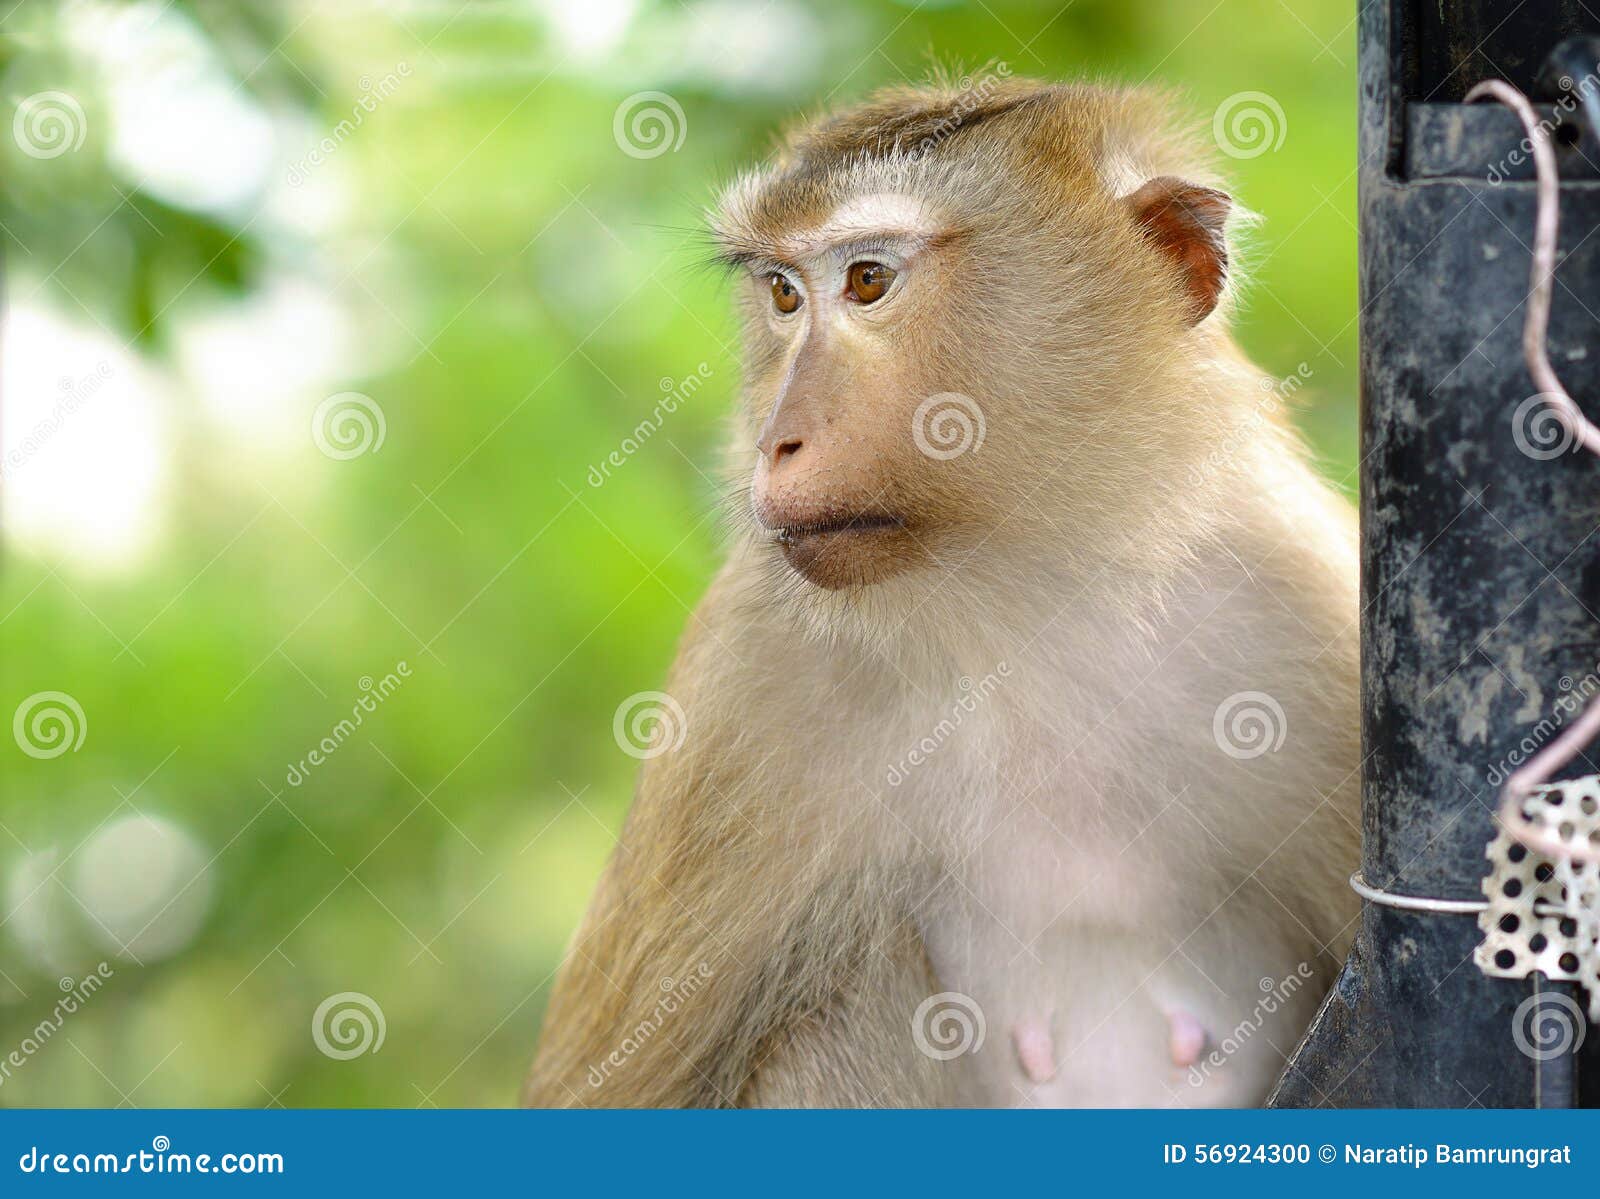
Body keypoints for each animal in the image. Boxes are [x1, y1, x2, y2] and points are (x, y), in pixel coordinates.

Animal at [524, 76, 1359, 1108]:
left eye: (868, 281)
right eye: (784, 293)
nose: (775, 440)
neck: (1031, 608)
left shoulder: (1301, 593)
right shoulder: (742, 682)